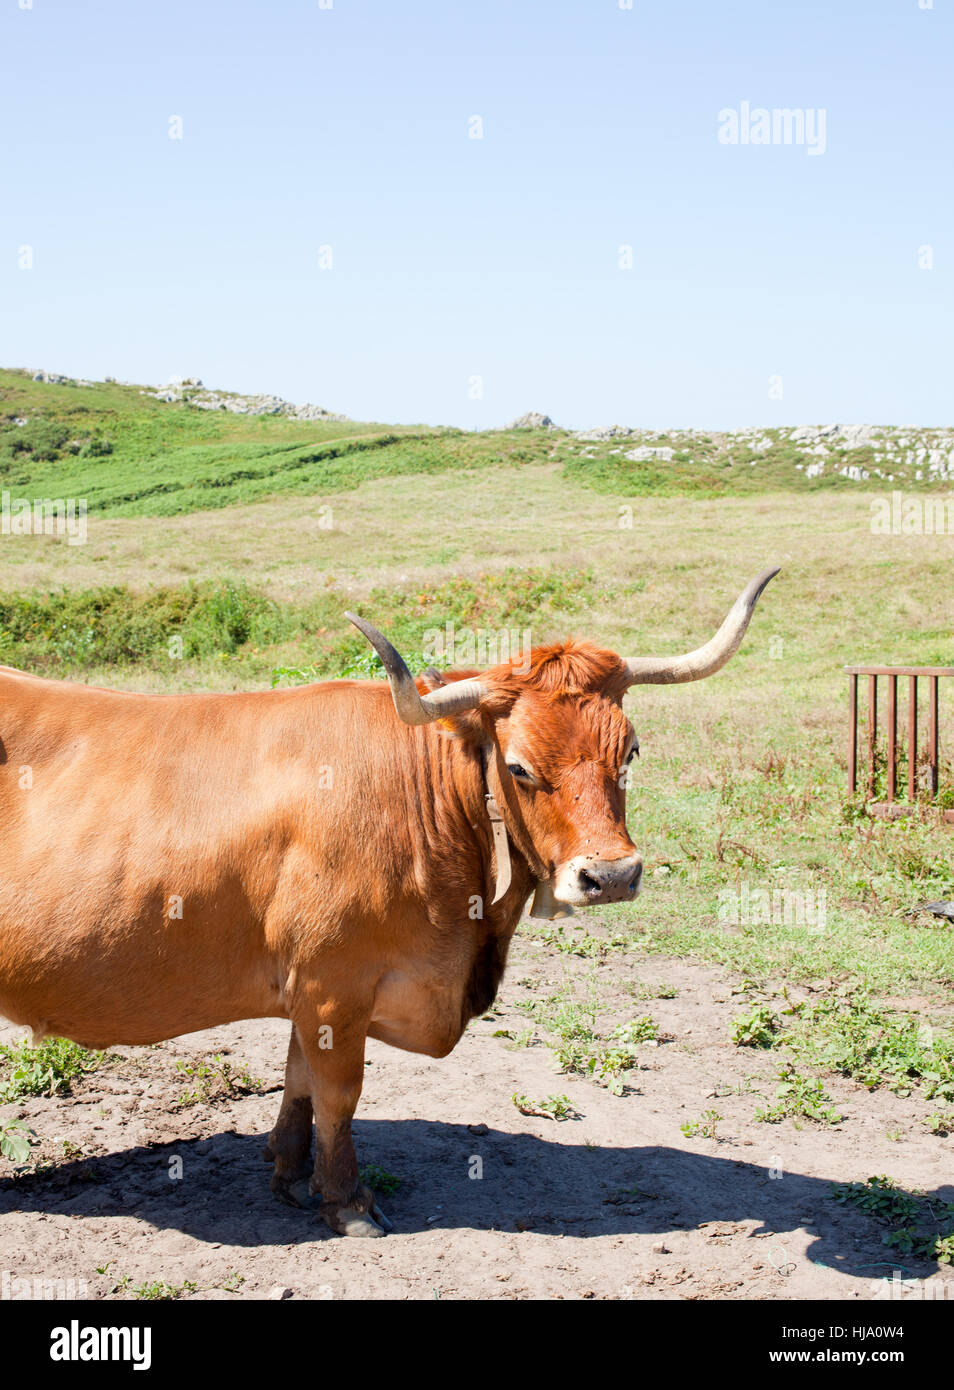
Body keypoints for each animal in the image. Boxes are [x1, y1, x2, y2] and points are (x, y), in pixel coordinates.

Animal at [0, 567, 778, 1236]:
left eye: (631, 752)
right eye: (520, 767)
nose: (611, 877)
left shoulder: (313, 988)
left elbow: (299, 1083)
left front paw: (291, 1175)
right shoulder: (333, 983)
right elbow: (339, 1094)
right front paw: (346, 1201)